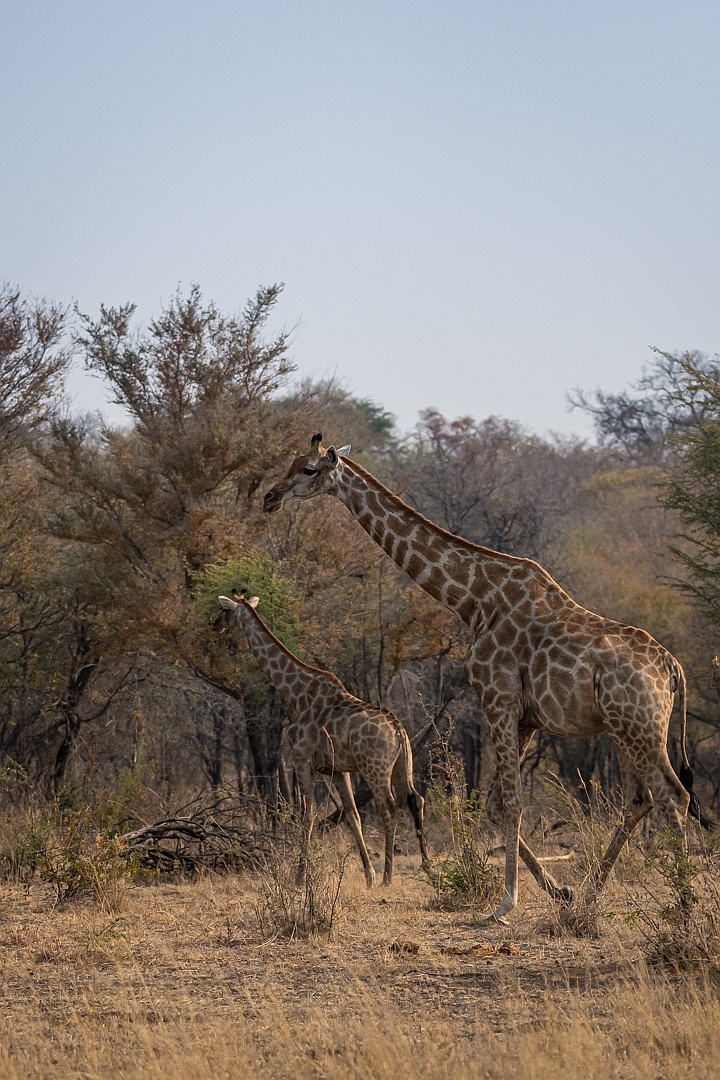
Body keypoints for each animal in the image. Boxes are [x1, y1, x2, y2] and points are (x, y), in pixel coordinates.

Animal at [213, 591, 427, 885]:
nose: (214, 626)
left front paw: (300, 876)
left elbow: (308, 816)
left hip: (374, 768)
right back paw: (426, 867)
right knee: (416, 799)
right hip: (401, 766)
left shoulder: (302, 758)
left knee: (390, 809)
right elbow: (352, 816)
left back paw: (388, 877)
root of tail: (397, 728)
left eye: (225, 611)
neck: (296, 692)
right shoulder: (337, 770)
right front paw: (368, 874)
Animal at [264, 434, 703, 924]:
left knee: (672, 796)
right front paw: (558, 891)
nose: (269, 497)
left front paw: (505, 902)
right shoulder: (524, 715)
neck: (472, 599)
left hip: (638, 725)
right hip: (627, 728)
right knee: (642, 799)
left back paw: (683, 908)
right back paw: (591, 896)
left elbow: (510, 803)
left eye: (307, 469)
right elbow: (496, 804)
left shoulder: (497, 698)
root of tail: (672, 668)